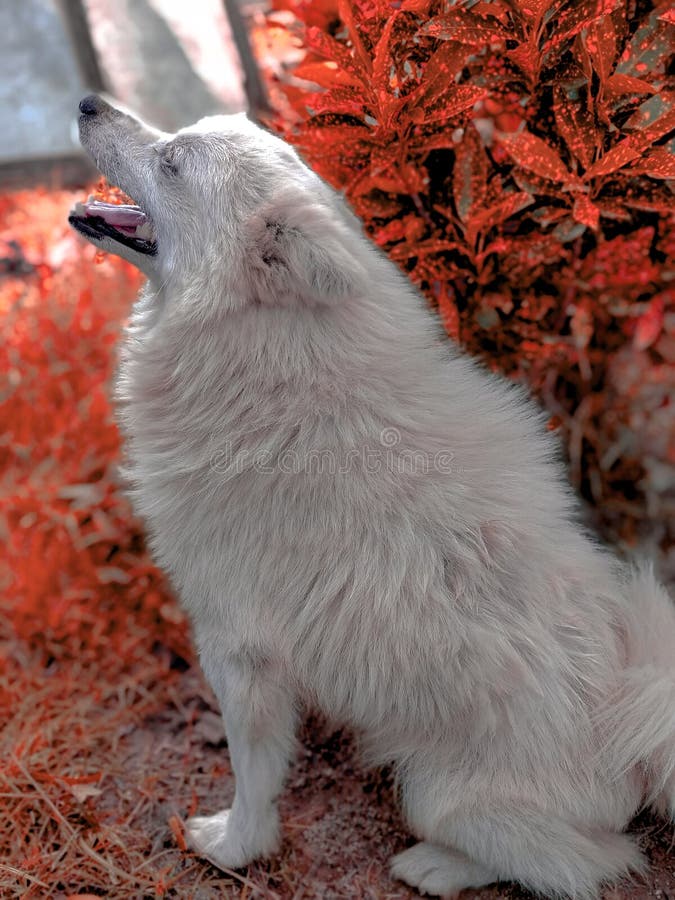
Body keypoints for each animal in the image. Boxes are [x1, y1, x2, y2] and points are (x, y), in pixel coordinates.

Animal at [70, 94, 675, 898]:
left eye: (171, 161)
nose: (86, 103)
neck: (264, 349)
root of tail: (627, 732)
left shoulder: (238, 648)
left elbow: (253, 774)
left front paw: (234, 847)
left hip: (437, 795)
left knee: (584, 861)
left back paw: (433, 866)